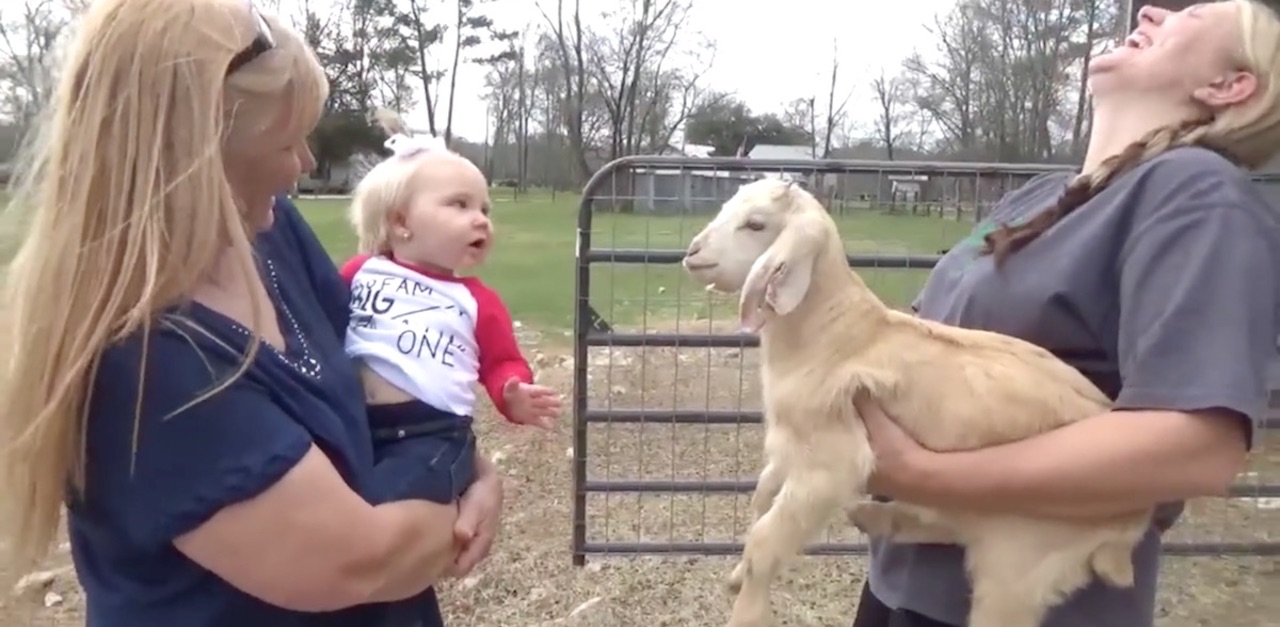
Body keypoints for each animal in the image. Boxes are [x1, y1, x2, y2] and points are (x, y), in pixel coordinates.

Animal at [680, 178, 1151, 627]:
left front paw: (746, 613)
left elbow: (765, 541)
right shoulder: (790, 446)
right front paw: (736, 574)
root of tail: (1133, 526)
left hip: (1022, 561)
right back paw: (881, 518)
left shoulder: (830, 463)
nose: (693, 252)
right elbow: (760, 499)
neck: (838, 336)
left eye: (756, 224)